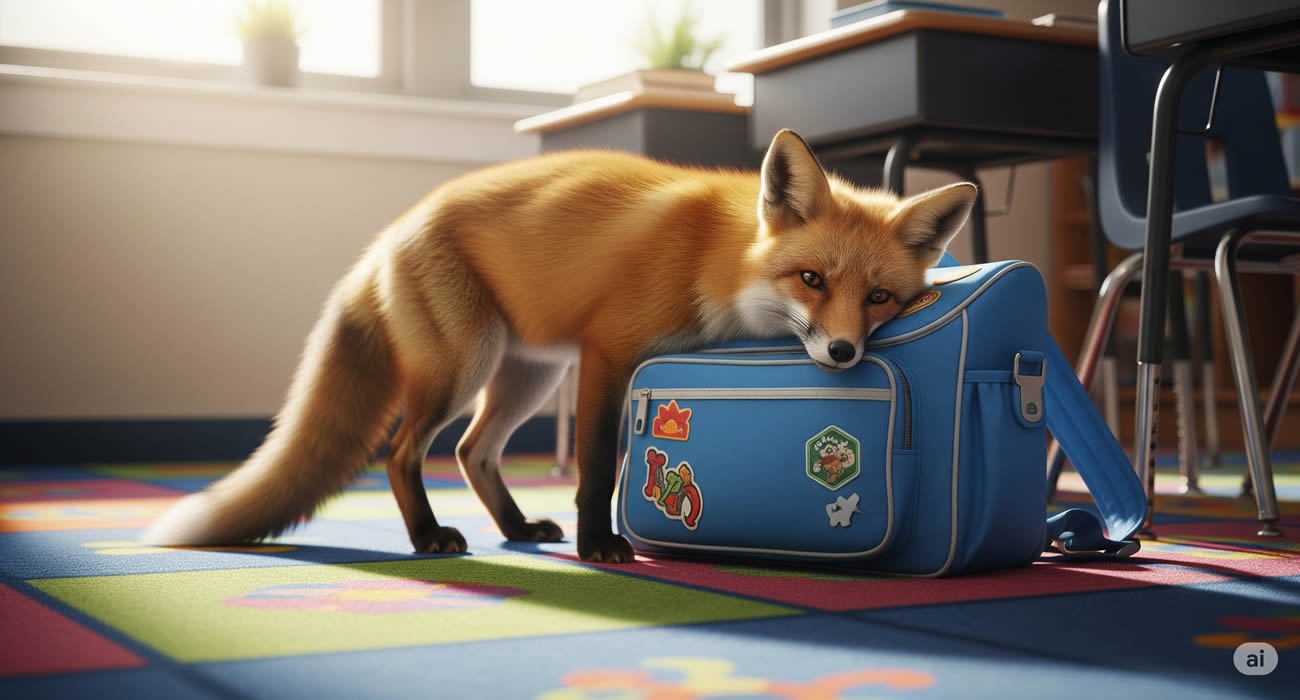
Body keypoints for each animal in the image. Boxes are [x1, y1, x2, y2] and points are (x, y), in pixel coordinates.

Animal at [142, 129, 976, 563]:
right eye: (811, 279)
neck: (717, 258)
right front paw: (601, 544)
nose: (842, 355)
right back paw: (428, 535)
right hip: (468, 366)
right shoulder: (610, 351)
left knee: (473, 451)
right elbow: (599, 465)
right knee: (404, 451)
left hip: (526, 376)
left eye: (879, 299)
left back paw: (515, 530)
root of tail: (389, 234)